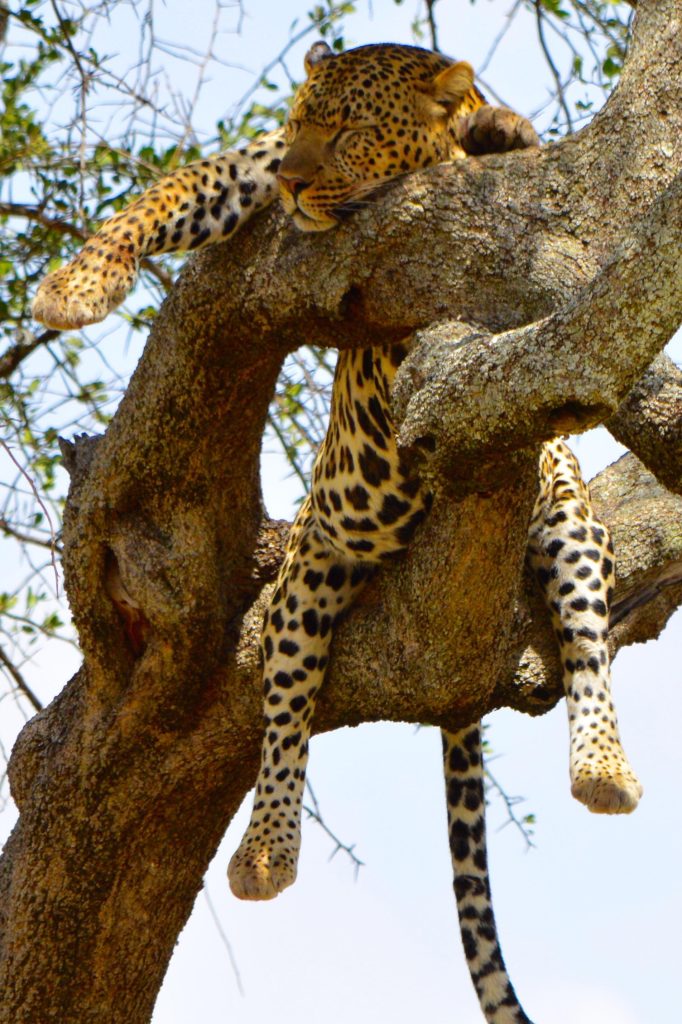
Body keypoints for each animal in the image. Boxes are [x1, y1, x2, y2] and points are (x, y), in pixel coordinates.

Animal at [32, 41, 643, 1024]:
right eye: (302, 121)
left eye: (352, 128)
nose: (292, 178)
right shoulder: (316, 555)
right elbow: (287, 704)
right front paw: (267, 852)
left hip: (565, 514)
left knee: (587, 632)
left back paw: (604, 768)